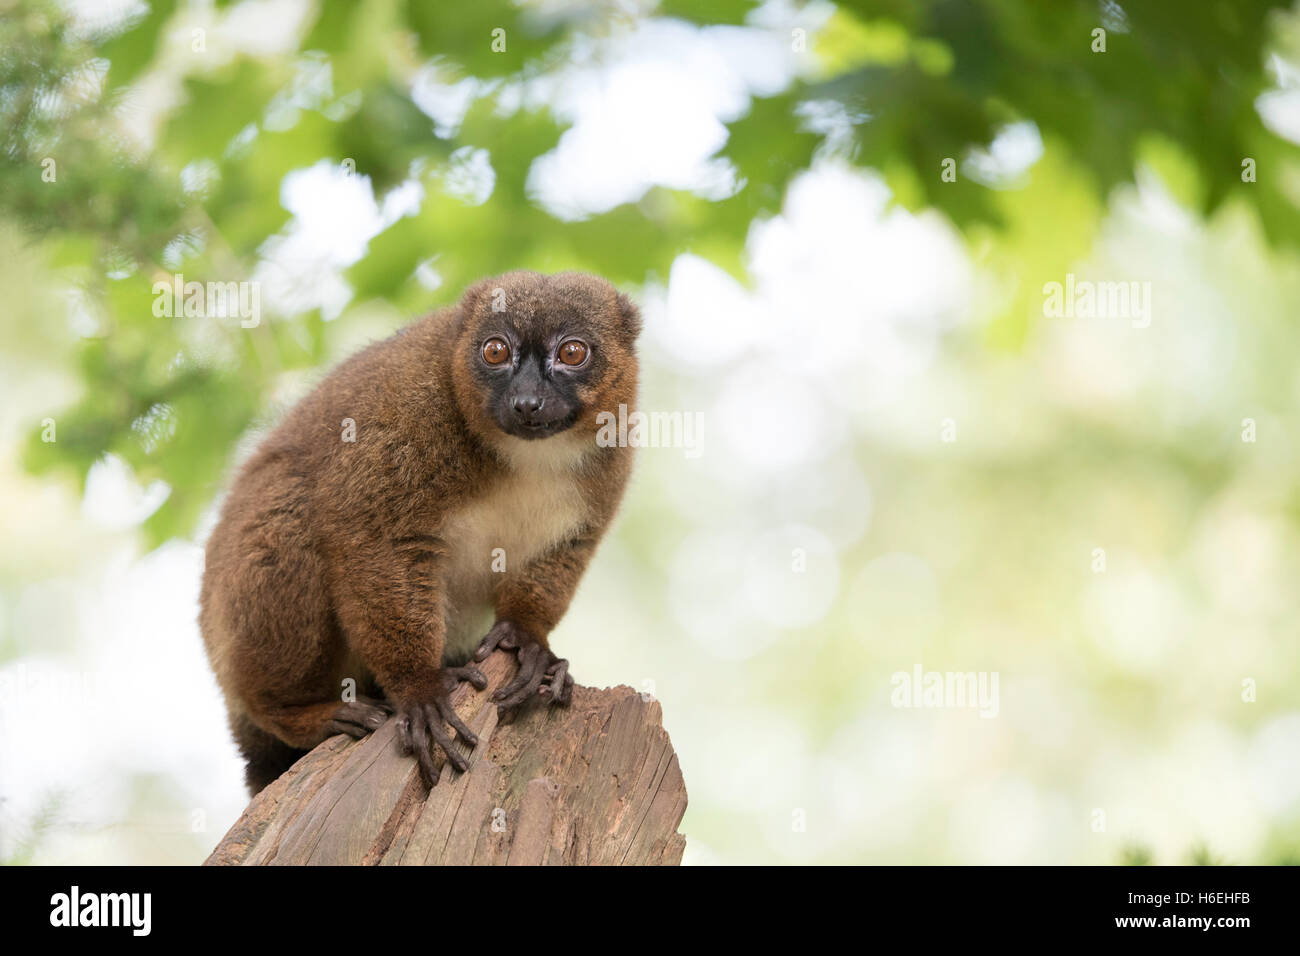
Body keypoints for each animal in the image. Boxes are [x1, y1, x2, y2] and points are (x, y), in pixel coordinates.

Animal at [198, 271, 639, 794]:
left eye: (572, 353)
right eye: (495, 351)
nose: (527, 402)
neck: (523, 455)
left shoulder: (611, 453)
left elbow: (569, 546)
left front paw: (529, 641)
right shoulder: (409, 410)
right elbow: (374, 536)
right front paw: (420, 687)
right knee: (289, 509)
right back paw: (297, 713)